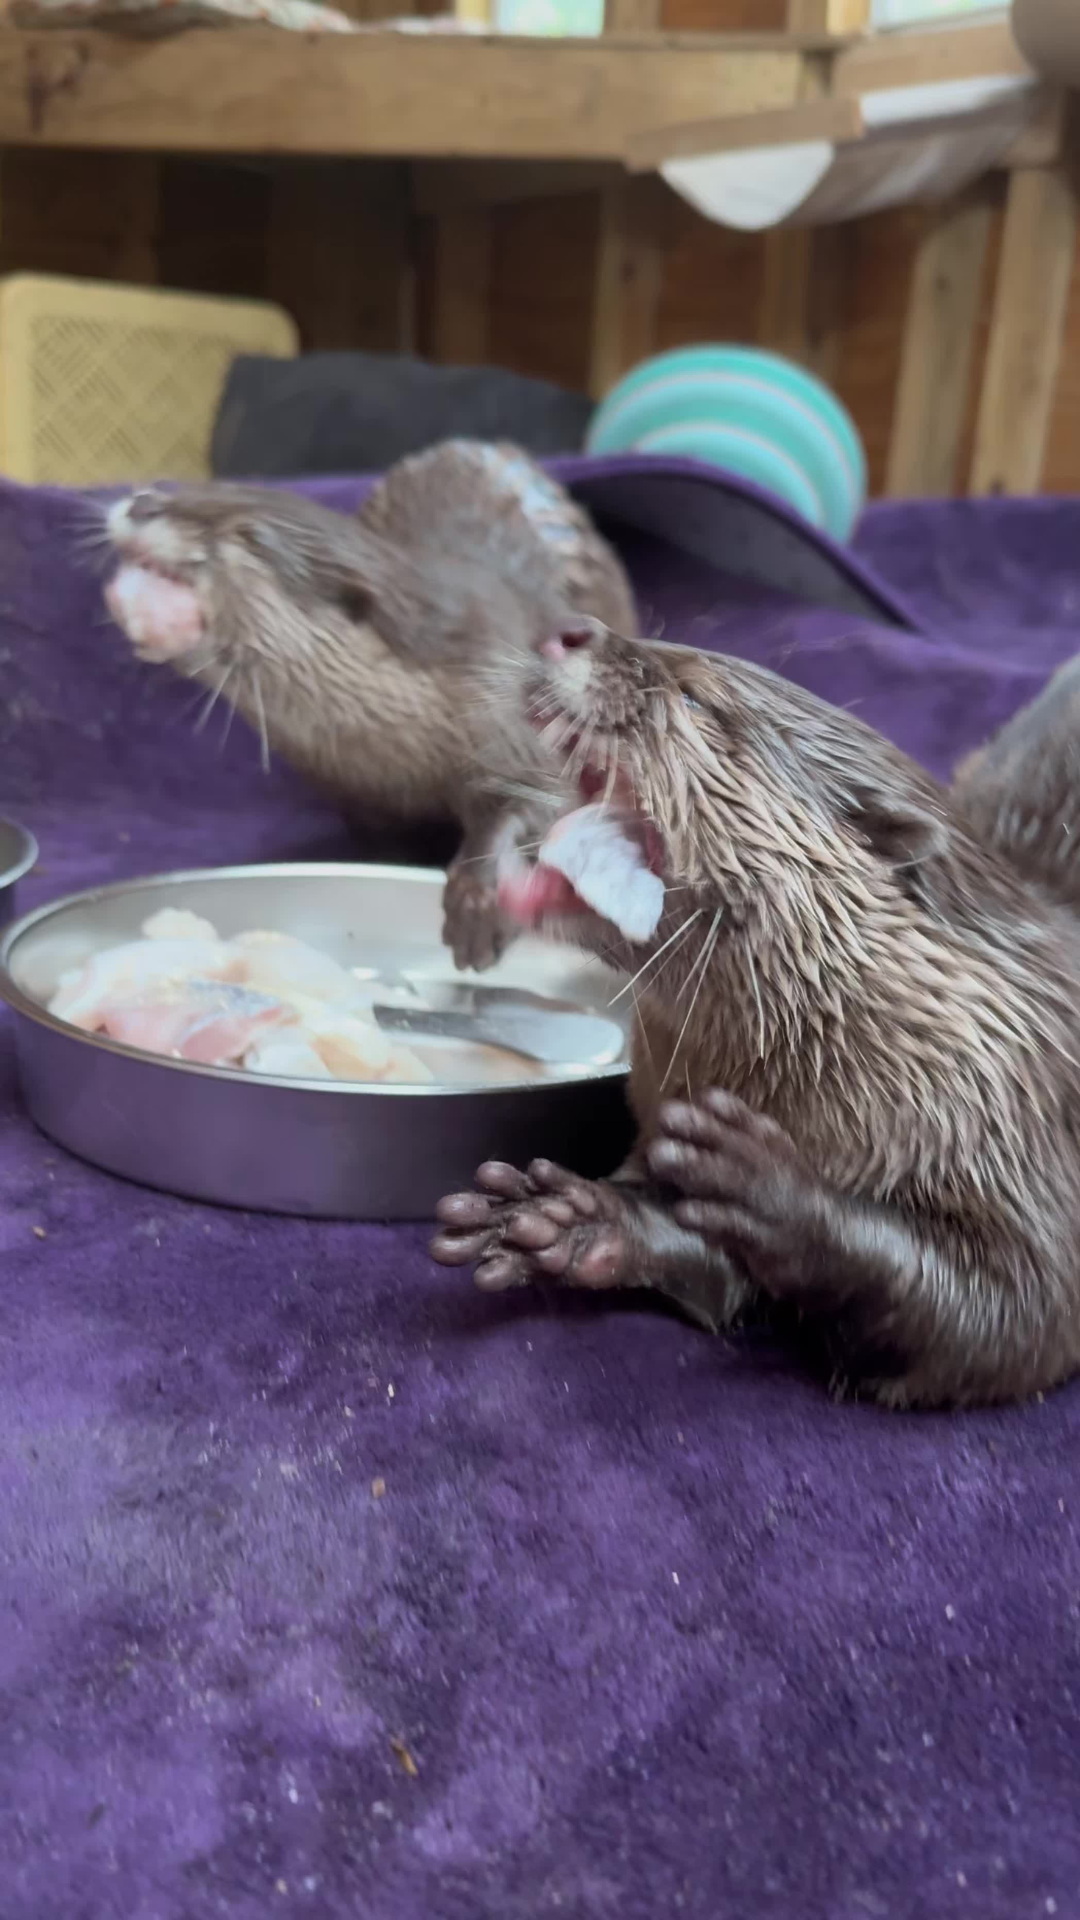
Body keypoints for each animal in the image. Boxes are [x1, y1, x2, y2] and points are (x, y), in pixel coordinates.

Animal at [102, 440, 635, 972]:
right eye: (183, 489)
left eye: (247, 536)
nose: (144, 502)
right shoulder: (355, 793)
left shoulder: (511, 708)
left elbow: (536, 799)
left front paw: (477, 904)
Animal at [431, 623, 1080, 1410]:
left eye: (693, 697)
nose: (573, 631)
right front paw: (568, 1218)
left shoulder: (1023, 1135)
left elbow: (1016, 1320)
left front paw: (766, 1185)